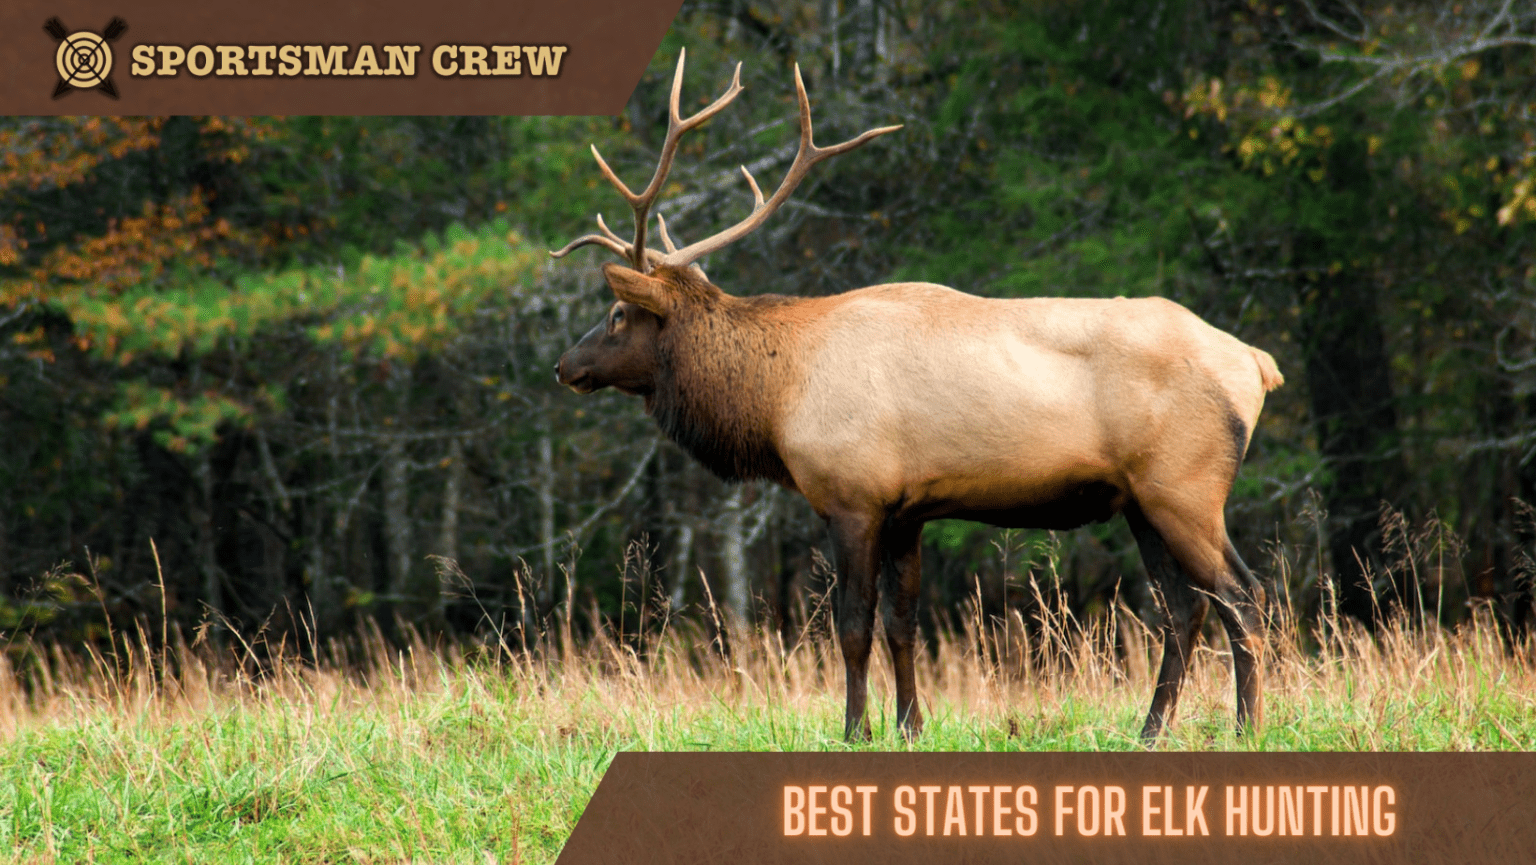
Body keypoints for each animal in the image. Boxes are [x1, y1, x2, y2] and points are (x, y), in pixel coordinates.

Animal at [550, 49, 1283, 744]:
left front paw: (855, 728)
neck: (776, 398)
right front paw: (910, 723)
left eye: (617, 315)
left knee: (1244, 596)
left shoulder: (851, 496)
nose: (564, 365)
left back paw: (1245, 728)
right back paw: (1151, 729)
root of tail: (1256, 364)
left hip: (1185, 487)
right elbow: (903, 625)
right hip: (1140, 500)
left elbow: (852, 625)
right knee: (1185, 607)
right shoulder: (907, 509)